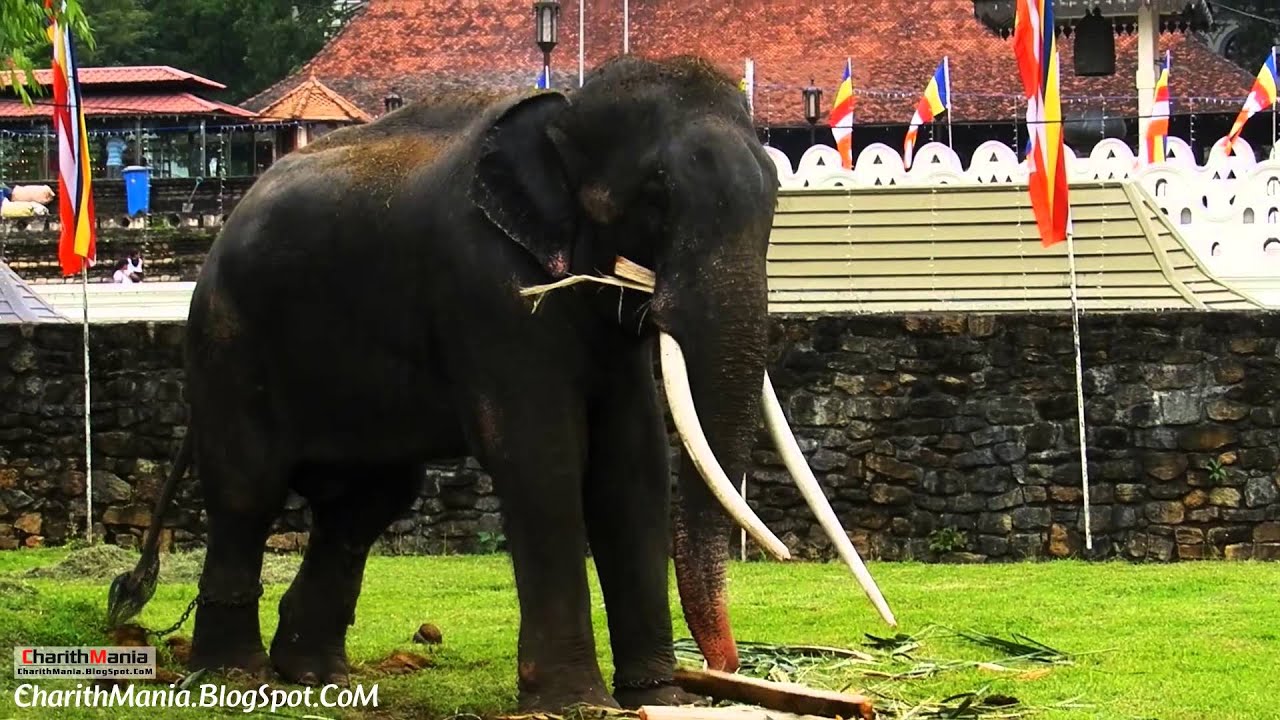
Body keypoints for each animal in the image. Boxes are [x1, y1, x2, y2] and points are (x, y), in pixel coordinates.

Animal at [107, 54, 892, 711]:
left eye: (776, 195)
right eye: (657, 195)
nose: (724, 665)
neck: (565, 113)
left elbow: (631, 462)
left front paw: (660, 695)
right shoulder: (487, 284)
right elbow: (543, 455)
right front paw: (578, 703)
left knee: (368, 501)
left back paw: (315, 673)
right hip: (229, 339)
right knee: (249, 489)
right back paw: (234, 675)